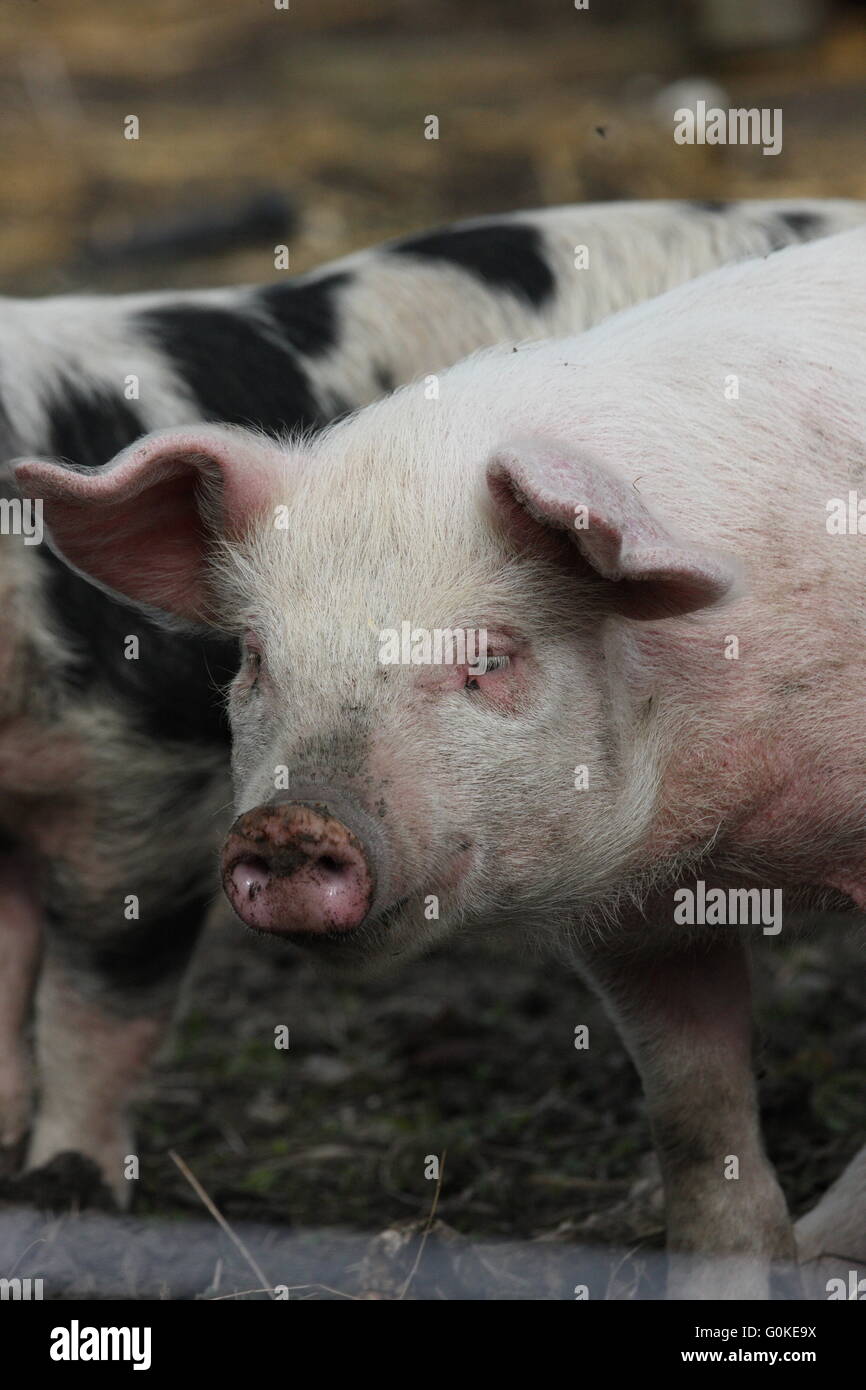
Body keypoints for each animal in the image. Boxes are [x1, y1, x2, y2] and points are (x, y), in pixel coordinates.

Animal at [20, 223, 866, 1299]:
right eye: (253, 657)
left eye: (489, 659)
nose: (290, 823)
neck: (750, 833)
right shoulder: (638, 910)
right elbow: (694, 1124)